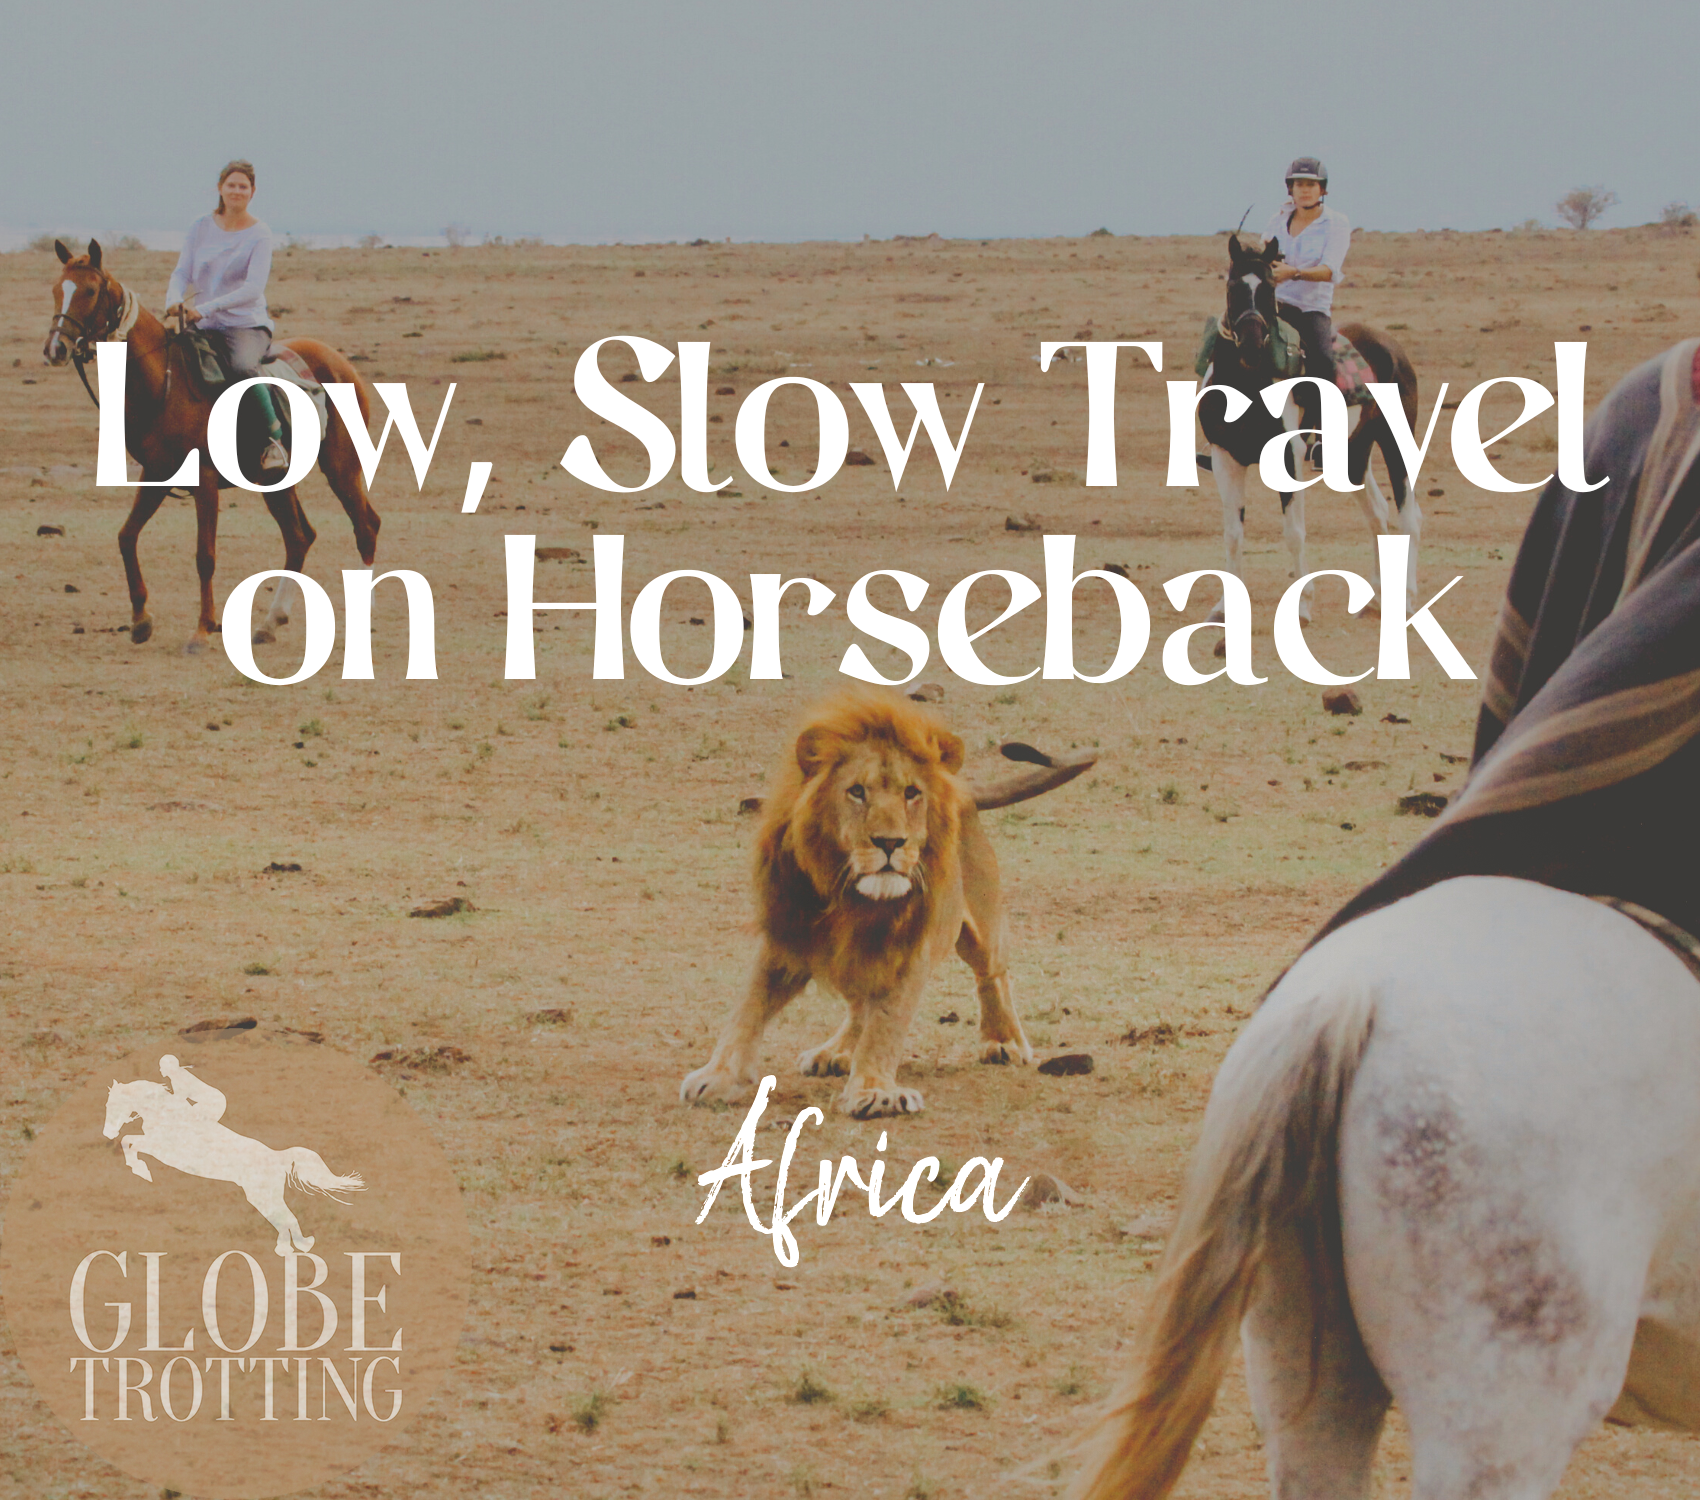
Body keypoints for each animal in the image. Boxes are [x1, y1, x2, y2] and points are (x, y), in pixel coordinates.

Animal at [42, 239, 381, 653]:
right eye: (57, 289)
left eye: (89, 291)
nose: (55, 348)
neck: (165, 382)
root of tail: (341, 364)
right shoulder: (157, 475)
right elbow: (126, 536)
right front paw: (140, 620)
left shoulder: (204, 482)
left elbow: (205, 555)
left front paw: (202, 630)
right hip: (276, 481)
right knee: (300, 537)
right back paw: (270, 623)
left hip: (341, 467)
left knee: (365, 526)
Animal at [103, 1073, 365, 1257]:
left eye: (112, 1105)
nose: (107, 1133)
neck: (166, 1114)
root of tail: (276, 1157)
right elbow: (129, 1142)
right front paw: (140, 1170)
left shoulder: (161, 1148)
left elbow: (130, 1142)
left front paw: (141, 1171)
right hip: (263, 1196)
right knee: (285, 1218)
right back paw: (295, 1247)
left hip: (261, 1196)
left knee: (285, 1218)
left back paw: (293, 1247)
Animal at [1199, 233, 1421, 621]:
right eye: (1232, 286)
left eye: (1270, 286)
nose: (1252, 346)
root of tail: (1392, 347)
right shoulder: (1225, 457)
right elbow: (1232, 534)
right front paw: (1224, 607)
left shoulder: (1288, 458)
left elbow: (1294, 533)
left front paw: (1303, 605)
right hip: (1353, 455)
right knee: (1378, 515)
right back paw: (1376, 598)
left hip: (1395, 442)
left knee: (1407, 516)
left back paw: (1406, 599)